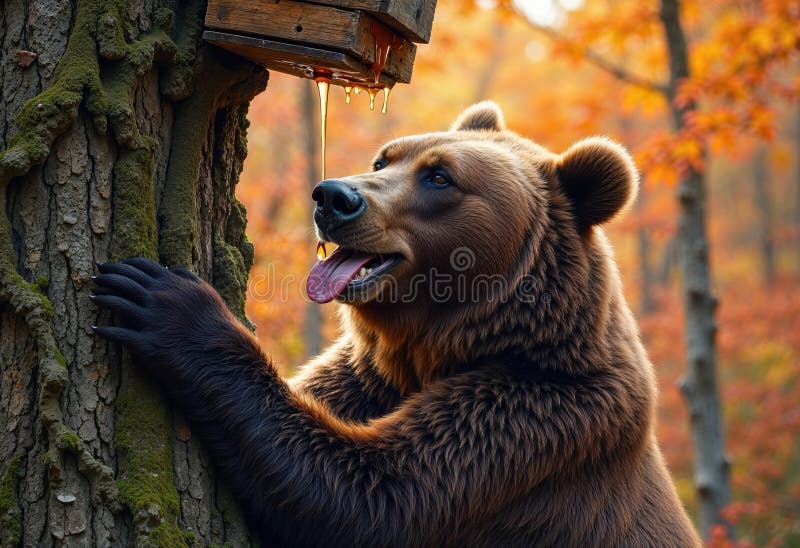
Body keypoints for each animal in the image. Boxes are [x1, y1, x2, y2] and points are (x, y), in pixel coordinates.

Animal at [92, 101, 701, 547]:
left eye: (441, 177)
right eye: (385, 159)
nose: (333, 196)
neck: (435, 345)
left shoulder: (541, 423)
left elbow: (369, 494)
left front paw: (162, 300)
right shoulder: (368, 375)